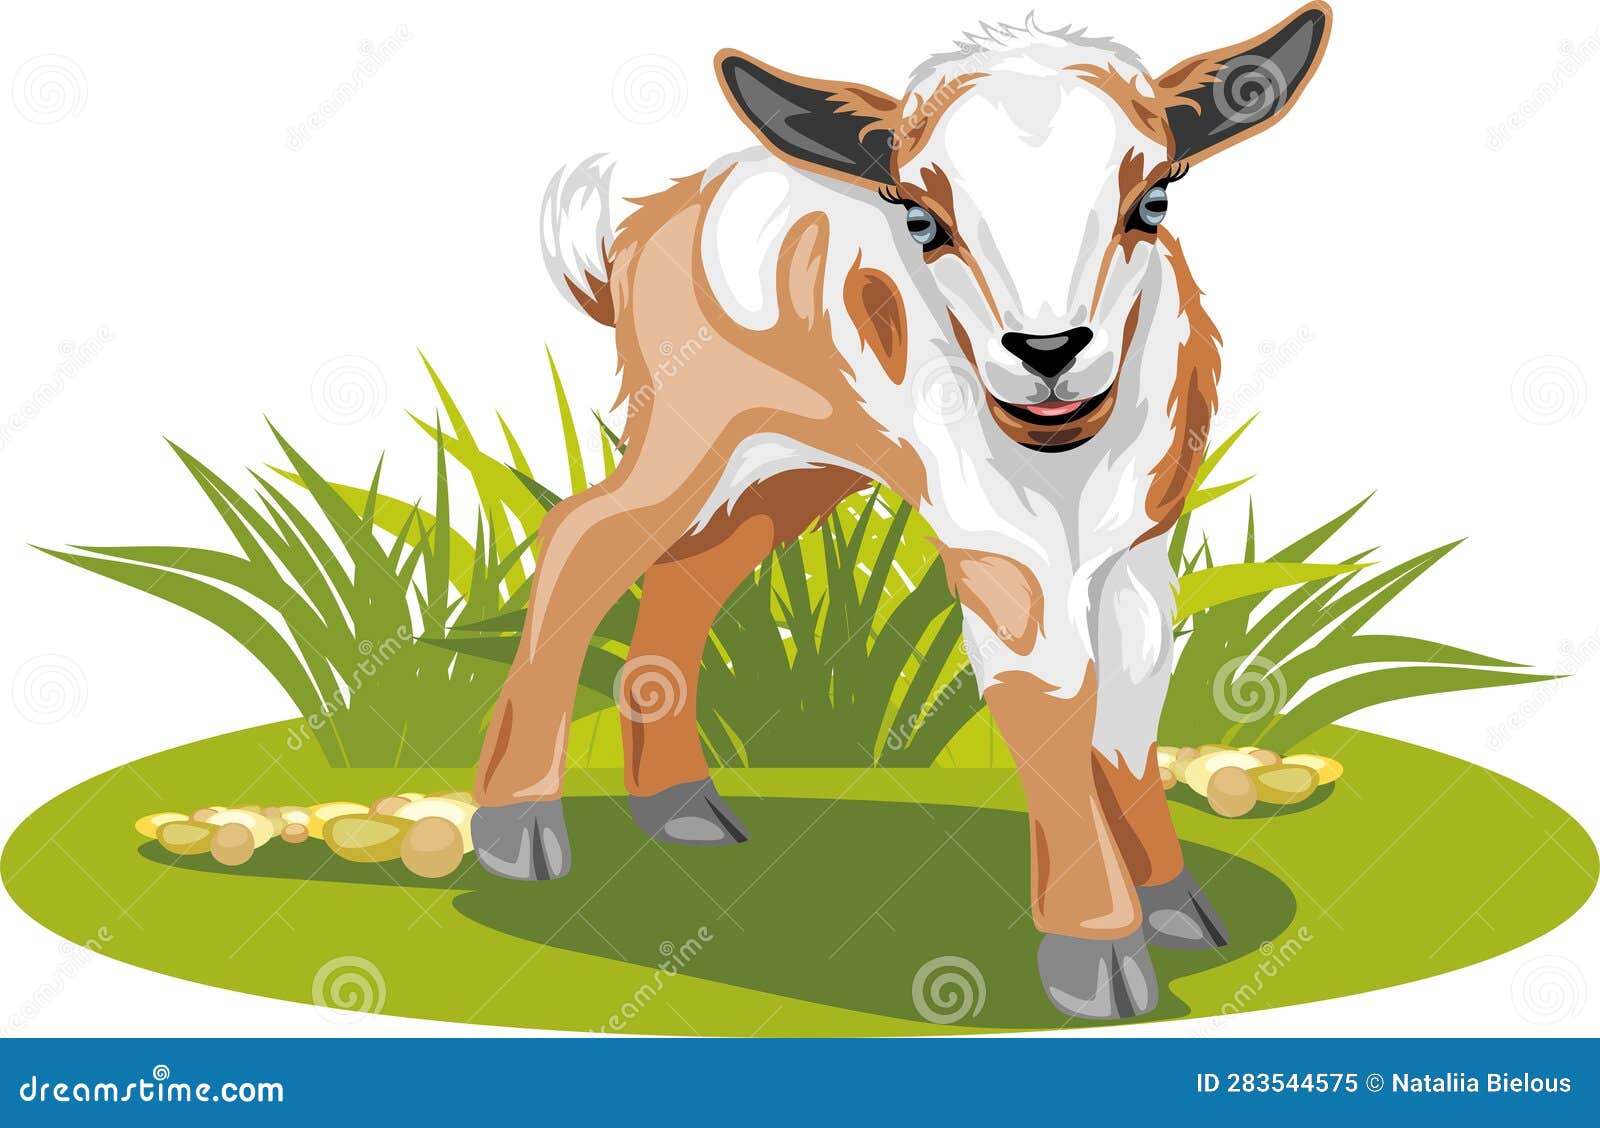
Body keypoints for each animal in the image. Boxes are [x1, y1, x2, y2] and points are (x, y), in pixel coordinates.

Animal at [471, 4, 1332, 1020]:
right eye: (921, 216)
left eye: (1154, 200)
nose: (1047, 353)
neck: (1068, 469)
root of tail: (654, 216)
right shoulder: (997, 545)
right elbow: (1051, 701)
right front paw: (1096, 952)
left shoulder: (1139, 550)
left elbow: (1127, 707)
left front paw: (1173, 904)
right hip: (687, 427)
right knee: (586, 536)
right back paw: (517, 825)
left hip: (791, 469)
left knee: (694, 571)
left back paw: (680, 806)